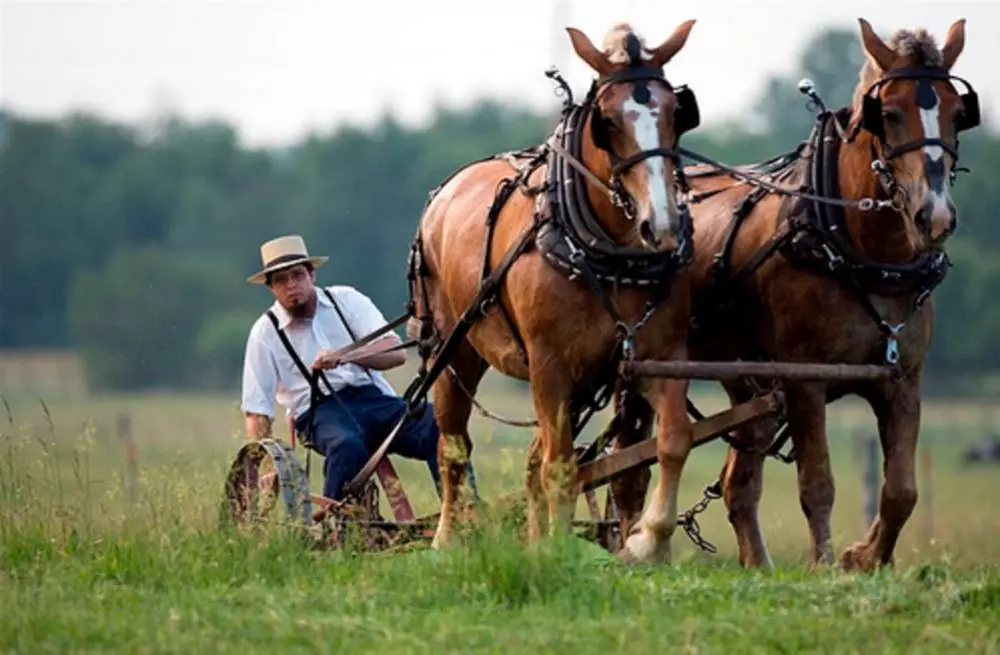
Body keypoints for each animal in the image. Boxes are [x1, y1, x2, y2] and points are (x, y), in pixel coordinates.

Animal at [406, 20, 704, 560]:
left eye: (677, 111)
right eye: (607, 121)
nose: (662, 226)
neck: (612, 256)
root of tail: (445, 192)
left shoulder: (662, 355)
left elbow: (674, 439)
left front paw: (646, 539)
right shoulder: (549, 365)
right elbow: (561, 467)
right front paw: (561, 548)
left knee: (530, 459)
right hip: (452, 349)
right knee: (453, 444)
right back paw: (446, 539)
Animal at [608, 14, 976, 568]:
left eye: (957, 112)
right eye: (888, 114)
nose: (933, 217)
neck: (863, 252)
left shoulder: (903, 379)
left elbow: (902, 491)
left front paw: (865, 557)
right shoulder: (805, 380)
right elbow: (817, 482)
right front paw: (824, 562)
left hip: (747, 379)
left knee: (738, 481)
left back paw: (757, 564)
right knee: (628, 469)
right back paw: (635, 543)